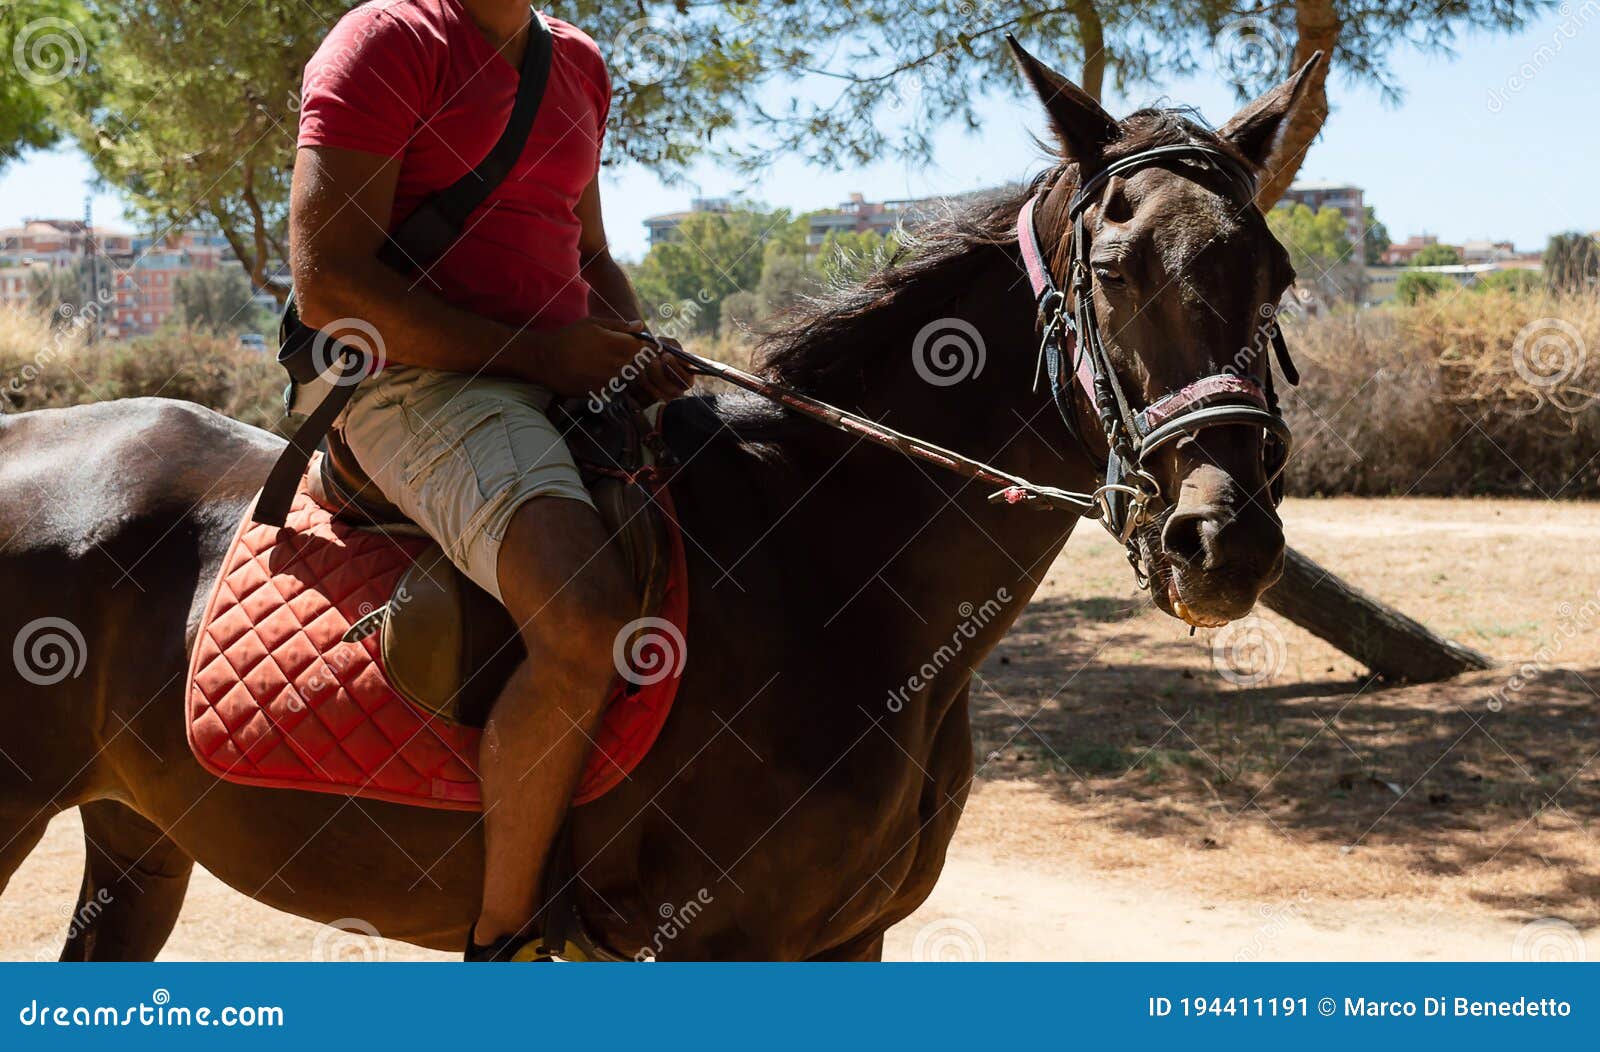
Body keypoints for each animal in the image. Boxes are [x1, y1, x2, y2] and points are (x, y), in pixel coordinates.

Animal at [0, 44, 1310, 961]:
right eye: (1113, 270)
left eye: (1277, 271)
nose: (1223, 537)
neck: (828, 570)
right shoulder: (720, 941)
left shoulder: (847, 939)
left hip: (138, 836)